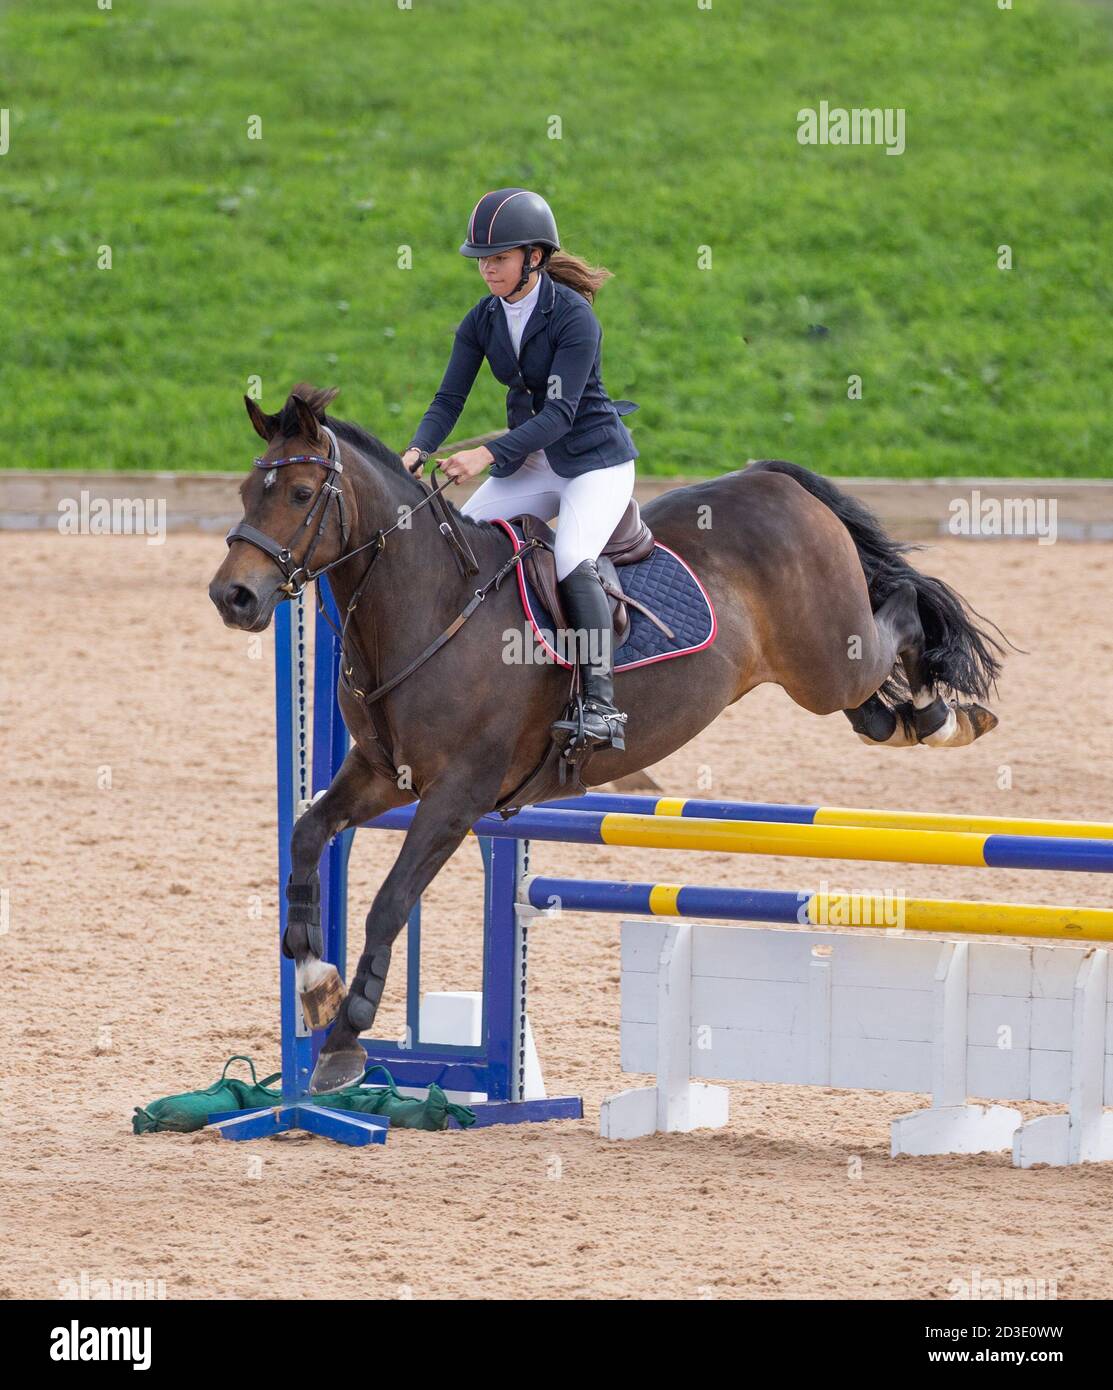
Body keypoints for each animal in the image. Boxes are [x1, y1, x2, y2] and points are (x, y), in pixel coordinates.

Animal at [210, 384, 1004, 1093]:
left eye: (302, 492)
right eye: (248, 490)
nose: (232, 597)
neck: (430, 608)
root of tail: (771, 480)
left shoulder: (458, 795)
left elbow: (389, 900)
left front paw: (344, 1040)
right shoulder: (381, 776)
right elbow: (308, 835)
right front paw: (314, 981)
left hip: (827, 663)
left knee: (903, 608)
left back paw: (948, 716)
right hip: (822, 675)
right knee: (873, 706)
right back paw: (922, 718)